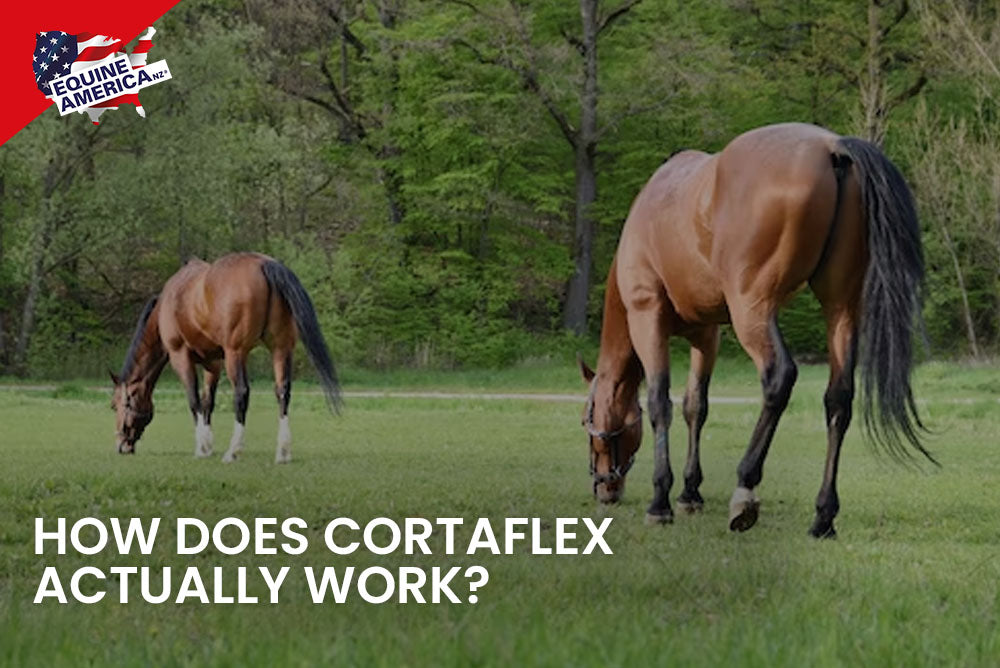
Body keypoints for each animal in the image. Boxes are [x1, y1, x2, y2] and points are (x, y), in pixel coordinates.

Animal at [110, 252, 341, 463]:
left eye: (115, 405)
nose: (121, 446)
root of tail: (264, 263)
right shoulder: (213, 364)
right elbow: (207, 402)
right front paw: (208, 445)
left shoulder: (180, 357)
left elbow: (193, 400)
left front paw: (201, 447)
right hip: (281, 349)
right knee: (283, 392)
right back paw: (283, 452)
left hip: (235, 353)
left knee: (241, 393)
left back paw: (233, 451)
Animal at [578, 122, 932, 538]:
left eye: (586, 423)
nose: (604, 489)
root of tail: (833, 148)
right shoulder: (707, 336)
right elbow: (696, 406)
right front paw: (690, 493)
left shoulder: (647, 317)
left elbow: (660, 403)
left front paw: (661, 500)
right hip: (841, 309)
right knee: (839, 399)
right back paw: (823, 516)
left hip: (753, 310)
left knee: (779, 377)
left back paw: (745, 489)